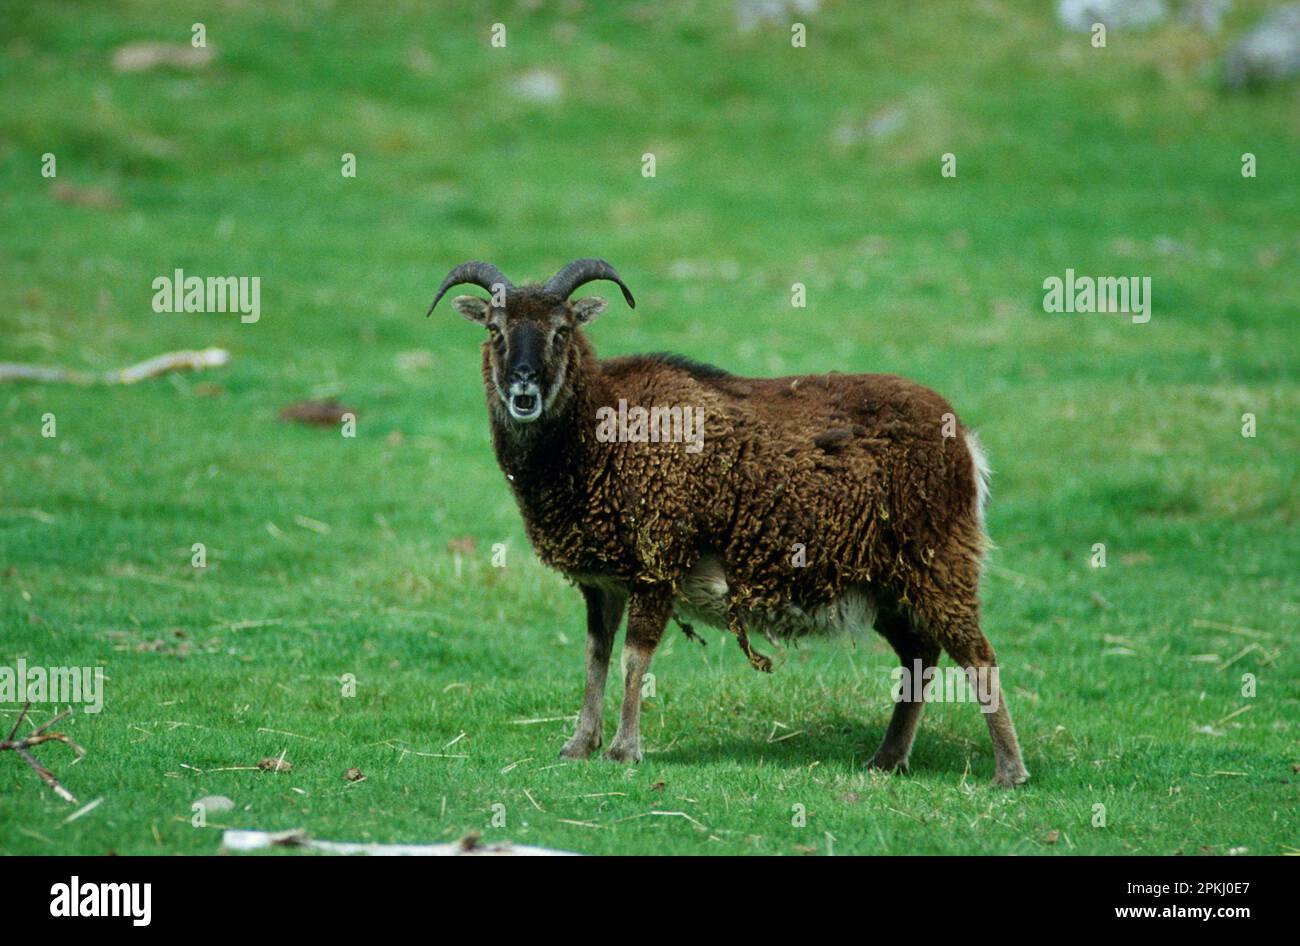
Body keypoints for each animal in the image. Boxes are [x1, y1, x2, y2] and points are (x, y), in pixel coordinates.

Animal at [428, 259, 1030, 787]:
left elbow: (633, 657)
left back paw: (1009, 773)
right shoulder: (603, 583)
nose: (523, 390)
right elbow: (595, 657)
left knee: (977, 655)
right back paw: (886, 760)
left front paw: (623, 751)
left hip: (939, 561)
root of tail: (965, 444)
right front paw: (578, 745)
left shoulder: (657, 565)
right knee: (919, 656)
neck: (602, 433)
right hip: (887, 582)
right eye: (495, 330)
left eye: (561, 331)